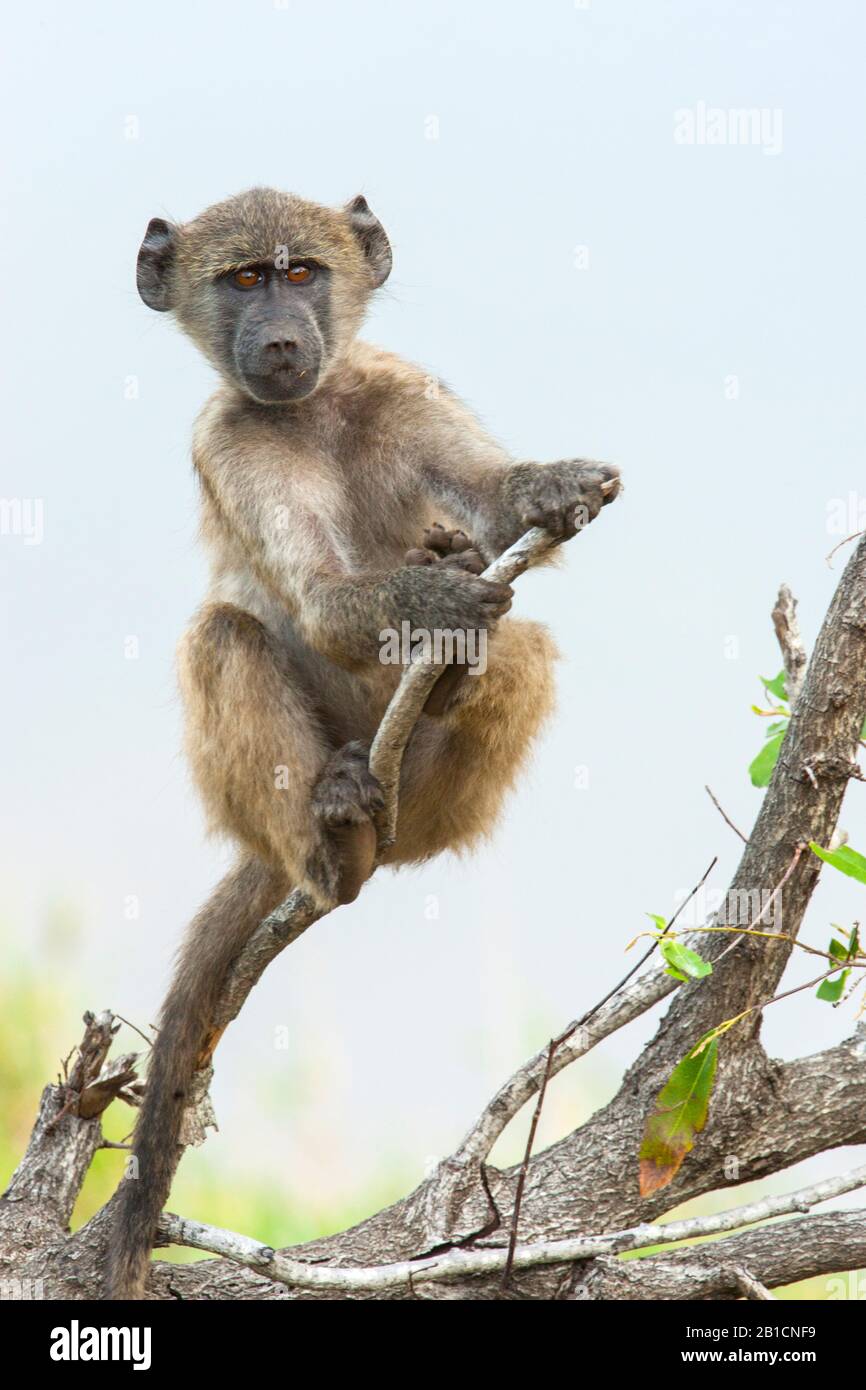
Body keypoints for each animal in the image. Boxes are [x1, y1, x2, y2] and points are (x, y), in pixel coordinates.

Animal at [105, 187, 619, 1298]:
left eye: (303, 273)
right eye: (244, 280)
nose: (281, 341)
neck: (315, 407)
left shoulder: (402, 386)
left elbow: (501, 510)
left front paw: (547, 488)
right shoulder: (227, 438)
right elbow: (323, 600)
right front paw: (437, 596)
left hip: (446, 796)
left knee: (520, 642)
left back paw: (451, 688)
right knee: (225, 633)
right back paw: (334, 844)